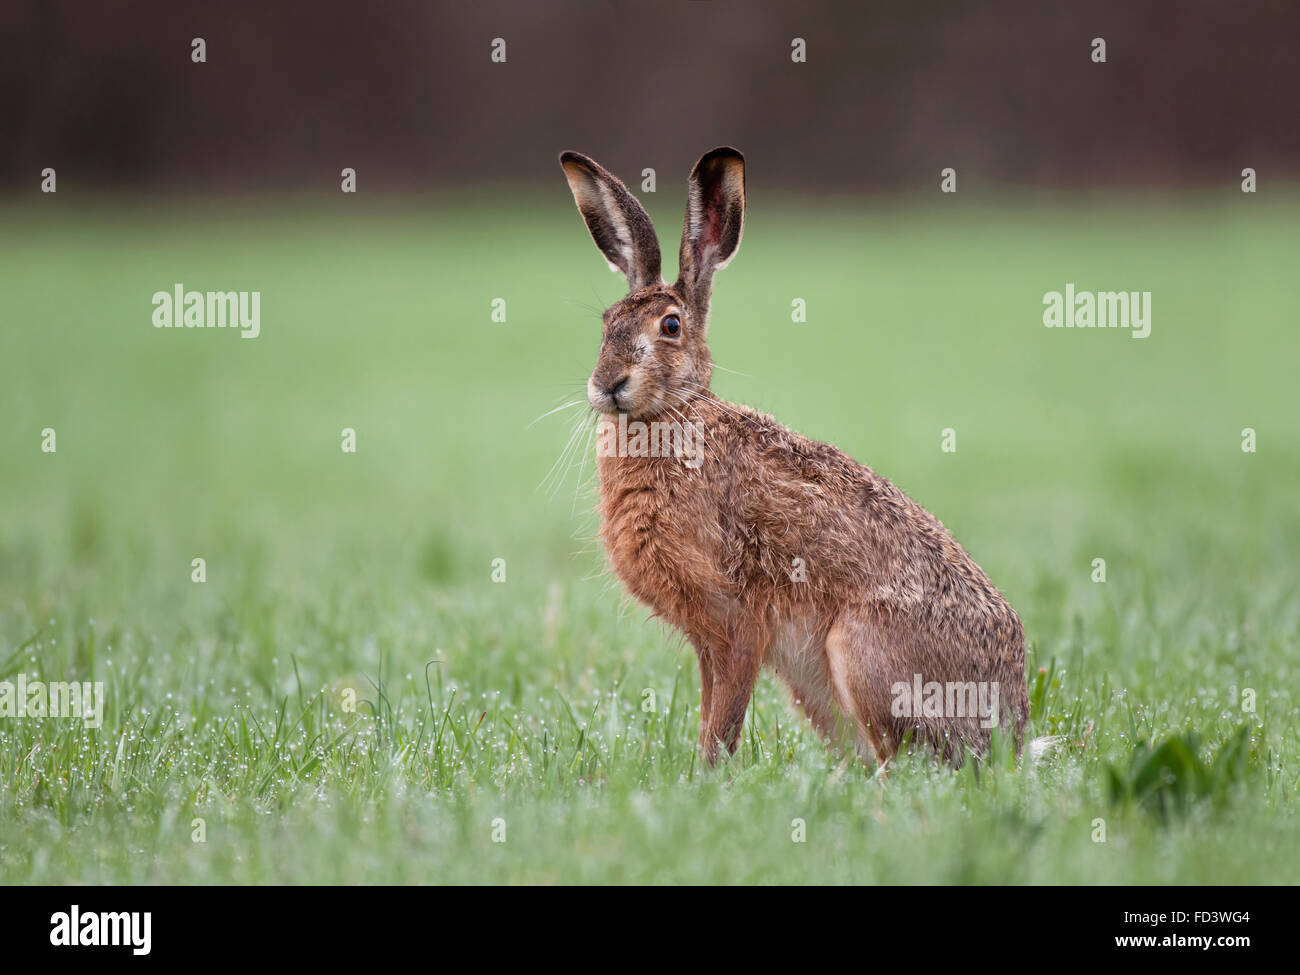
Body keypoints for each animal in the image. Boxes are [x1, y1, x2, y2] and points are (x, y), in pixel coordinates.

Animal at [559, 146, 1031, 768]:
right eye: (606, 324)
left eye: (670, 326)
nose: (607, 385)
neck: (676, 416)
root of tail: (1012, 735)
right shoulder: (711, 640)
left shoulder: (736, 623)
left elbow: (723, 721)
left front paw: (706, 777)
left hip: (860, 653)